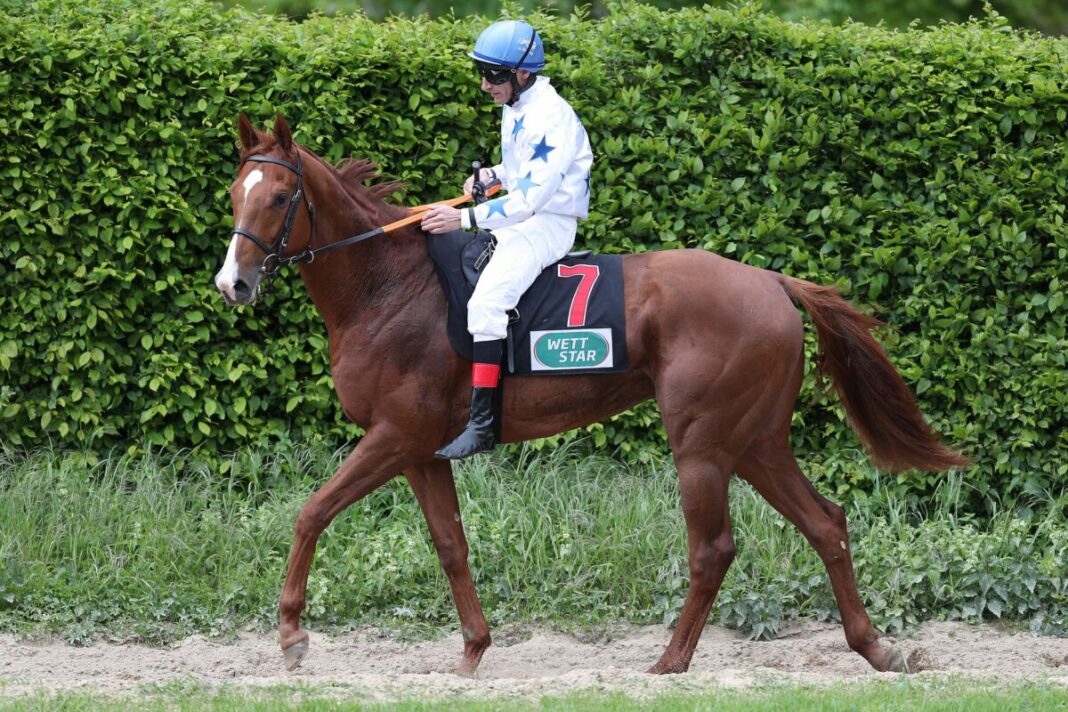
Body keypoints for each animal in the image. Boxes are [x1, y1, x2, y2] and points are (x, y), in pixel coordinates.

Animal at [214, 114, 967, 675]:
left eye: (278, 198)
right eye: (233, 193)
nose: (233, 283)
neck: (389, 284)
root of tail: (772, 281)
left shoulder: (395, 436)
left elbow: (311, 512)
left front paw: (291, 634)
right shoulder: (423, 450)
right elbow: (450, 544)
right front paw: (473, 652)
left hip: (702, 443)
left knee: (714, 547)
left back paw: (669, 661)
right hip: (754, 441)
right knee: (826, 523)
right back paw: (875, 648)